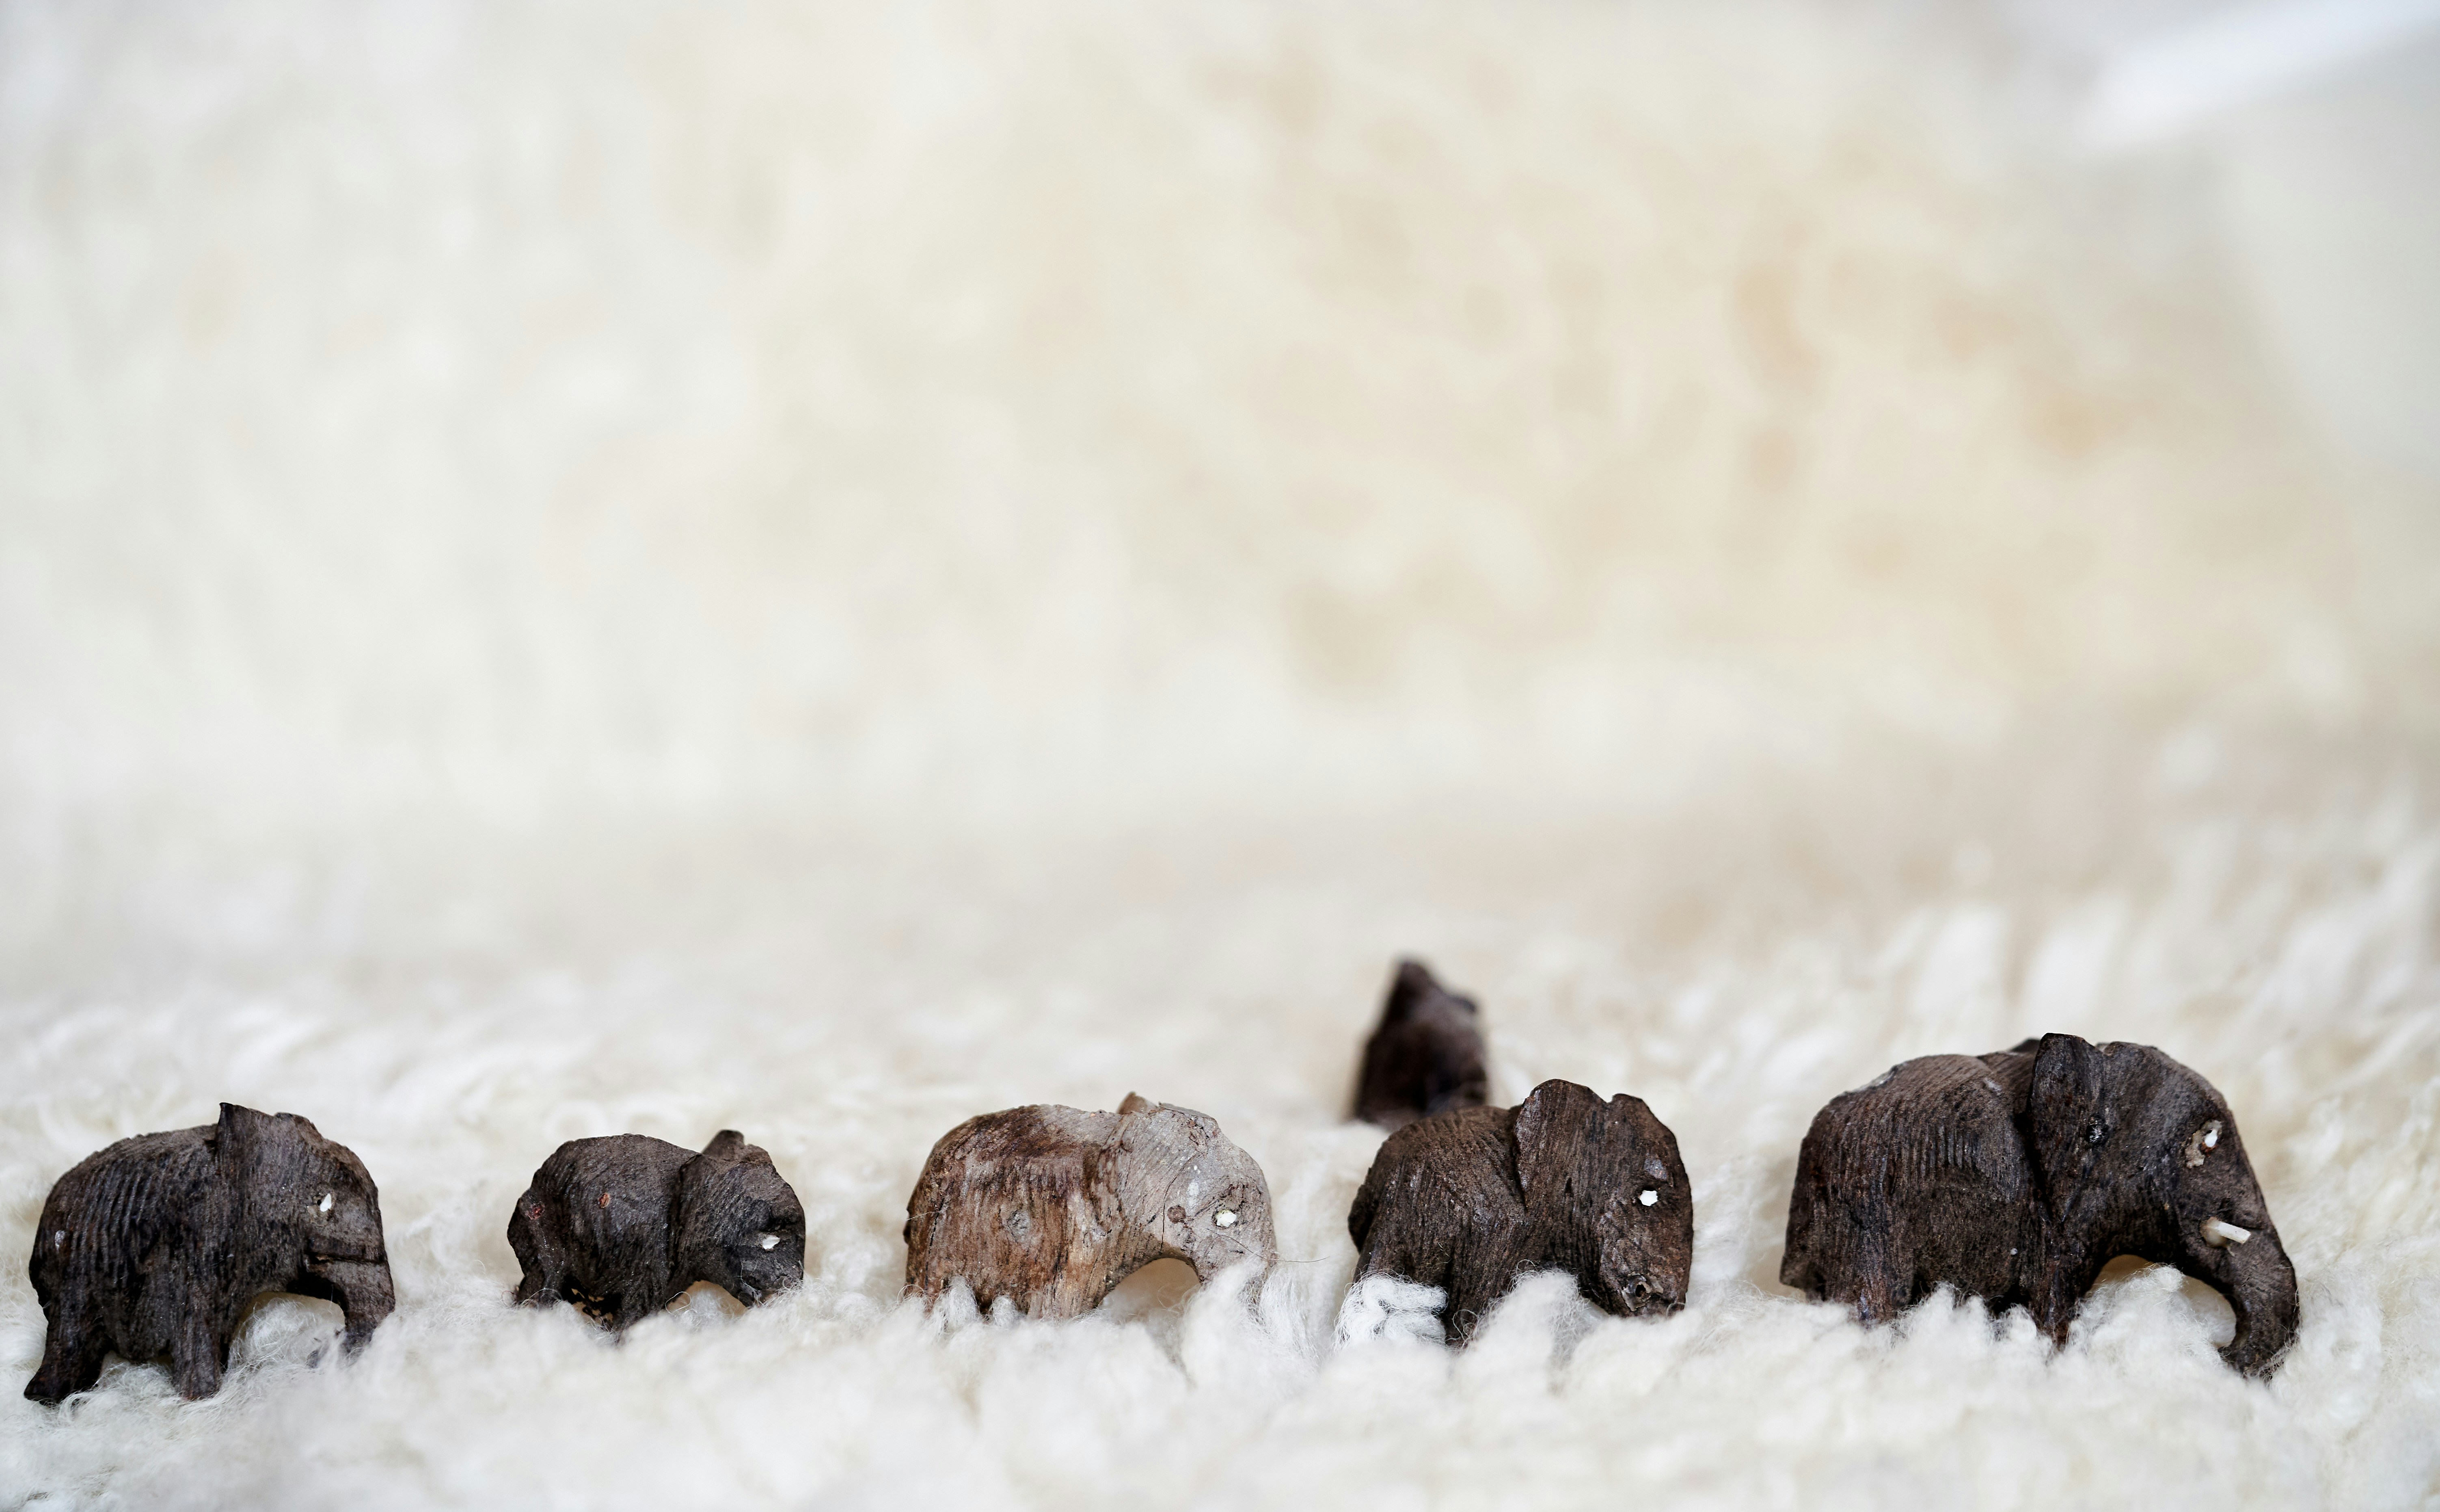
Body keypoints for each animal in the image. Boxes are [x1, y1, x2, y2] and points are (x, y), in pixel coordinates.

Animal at [25, 1103, 395, 1404]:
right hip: (73, 1276)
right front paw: (201, 1399)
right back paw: (50, 1399)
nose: (314, 1357)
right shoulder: (197, 1243)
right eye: (322, 1203)